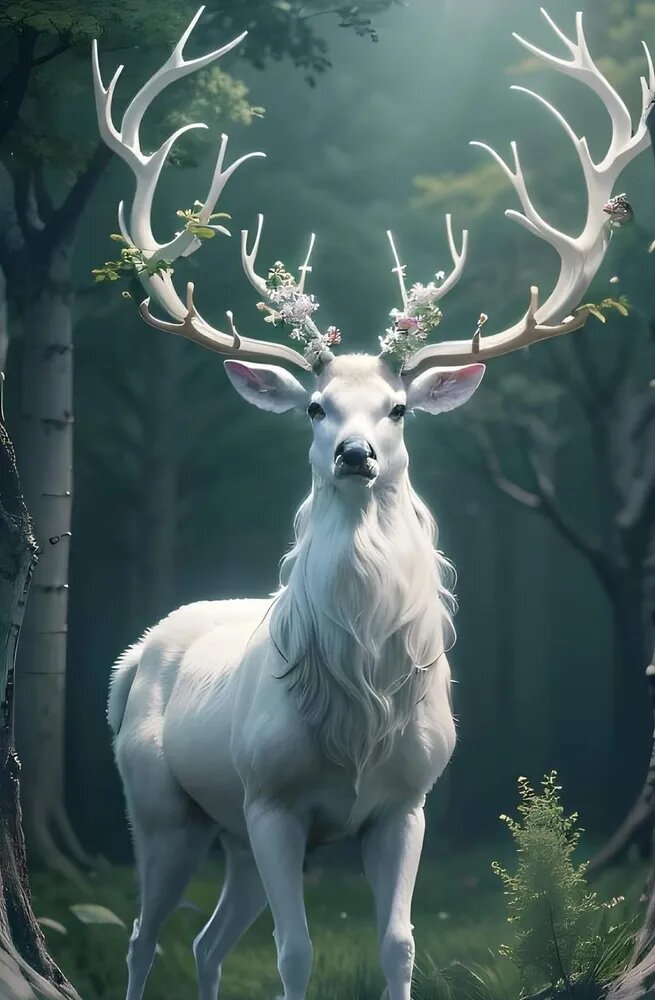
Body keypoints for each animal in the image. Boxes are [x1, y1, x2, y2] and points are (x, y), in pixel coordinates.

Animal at [93, 8, 653, 1000]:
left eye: (396, 409)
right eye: (316, 407)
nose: (355, 454)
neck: (356, 710)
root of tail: (130, 658)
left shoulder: (406, 804)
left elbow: (397, 944)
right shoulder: (272, 799)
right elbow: (295, 951)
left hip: (226, 833)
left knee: (205, 942)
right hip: (161, 805)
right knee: (143, 935)